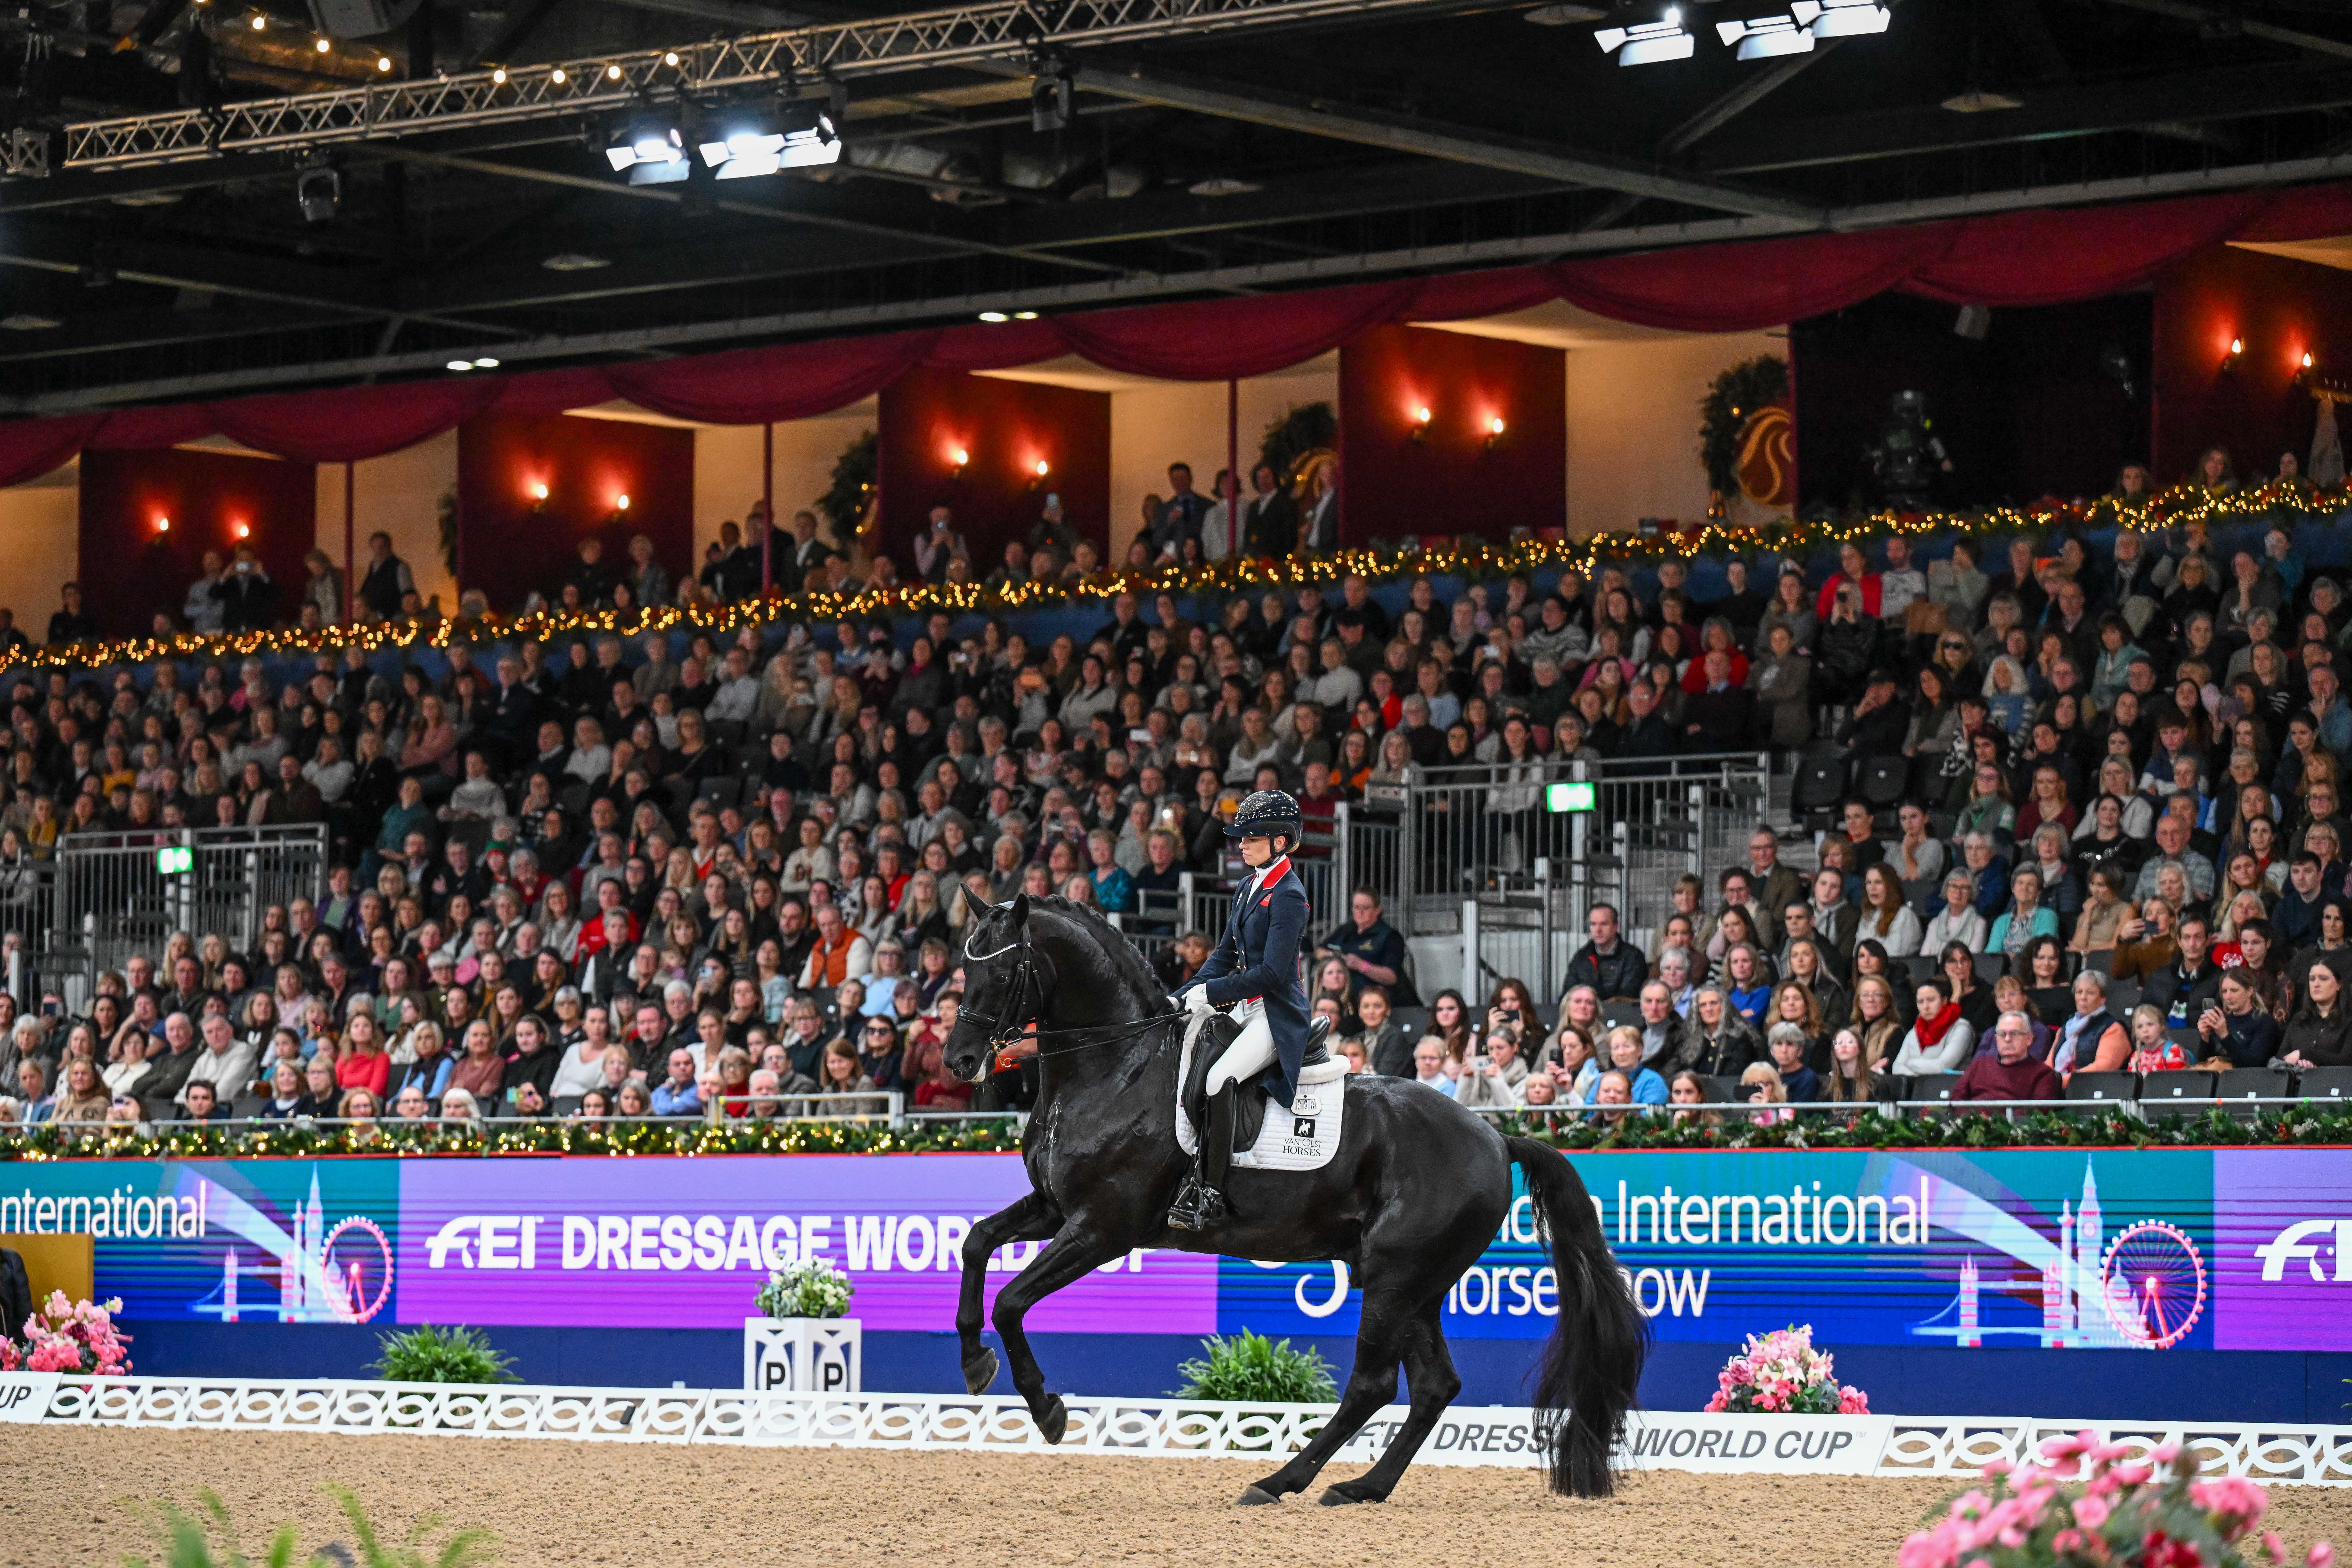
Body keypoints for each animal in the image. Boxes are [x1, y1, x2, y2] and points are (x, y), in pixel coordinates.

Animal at [941, 889, 1647, 1505]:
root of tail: (1496, 1137)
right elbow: (977, 1243)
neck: (1115, 1067)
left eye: (1003, 970)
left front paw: (1047, 1409)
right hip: (1417, 1282)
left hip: (1397, 1275)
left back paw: (1280, 1481)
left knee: (1372, 1384)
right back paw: (1361, 1487)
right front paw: (975, 1361)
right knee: (1434, 1385)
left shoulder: (1101, 1229)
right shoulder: (1055, 1208)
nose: (959, 1061)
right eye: (964, 965)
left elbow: (1011, 1301)